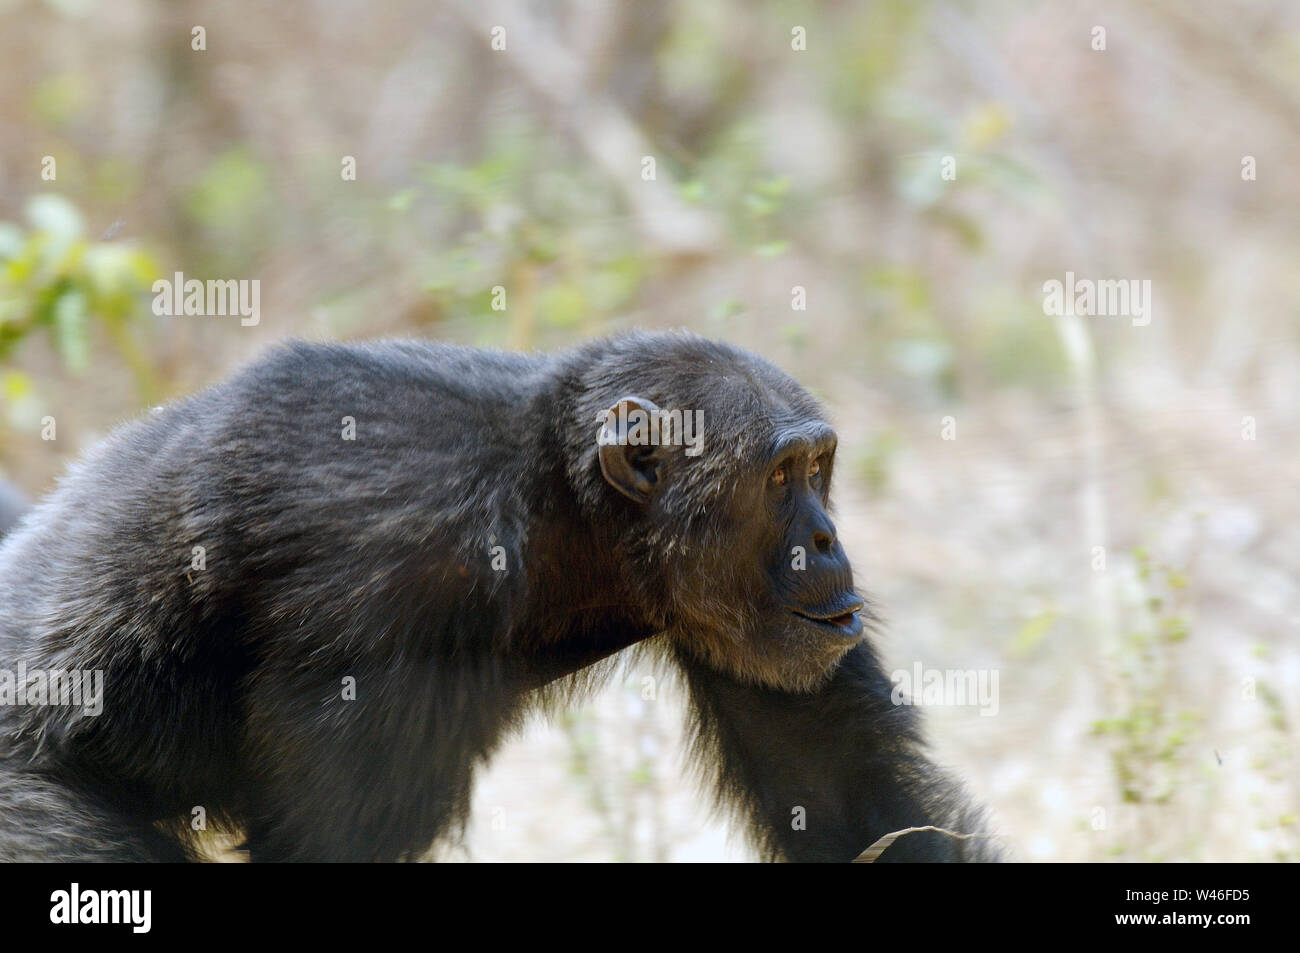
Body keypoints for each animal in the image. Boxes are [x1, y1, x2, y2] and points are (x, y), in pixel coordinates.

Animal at [0, 331, 996, 861]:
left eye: (819, 466)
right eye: (783, 474)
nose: (827, 539)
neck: (564, 515)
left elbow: (844, 791)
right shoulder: (382, 576)